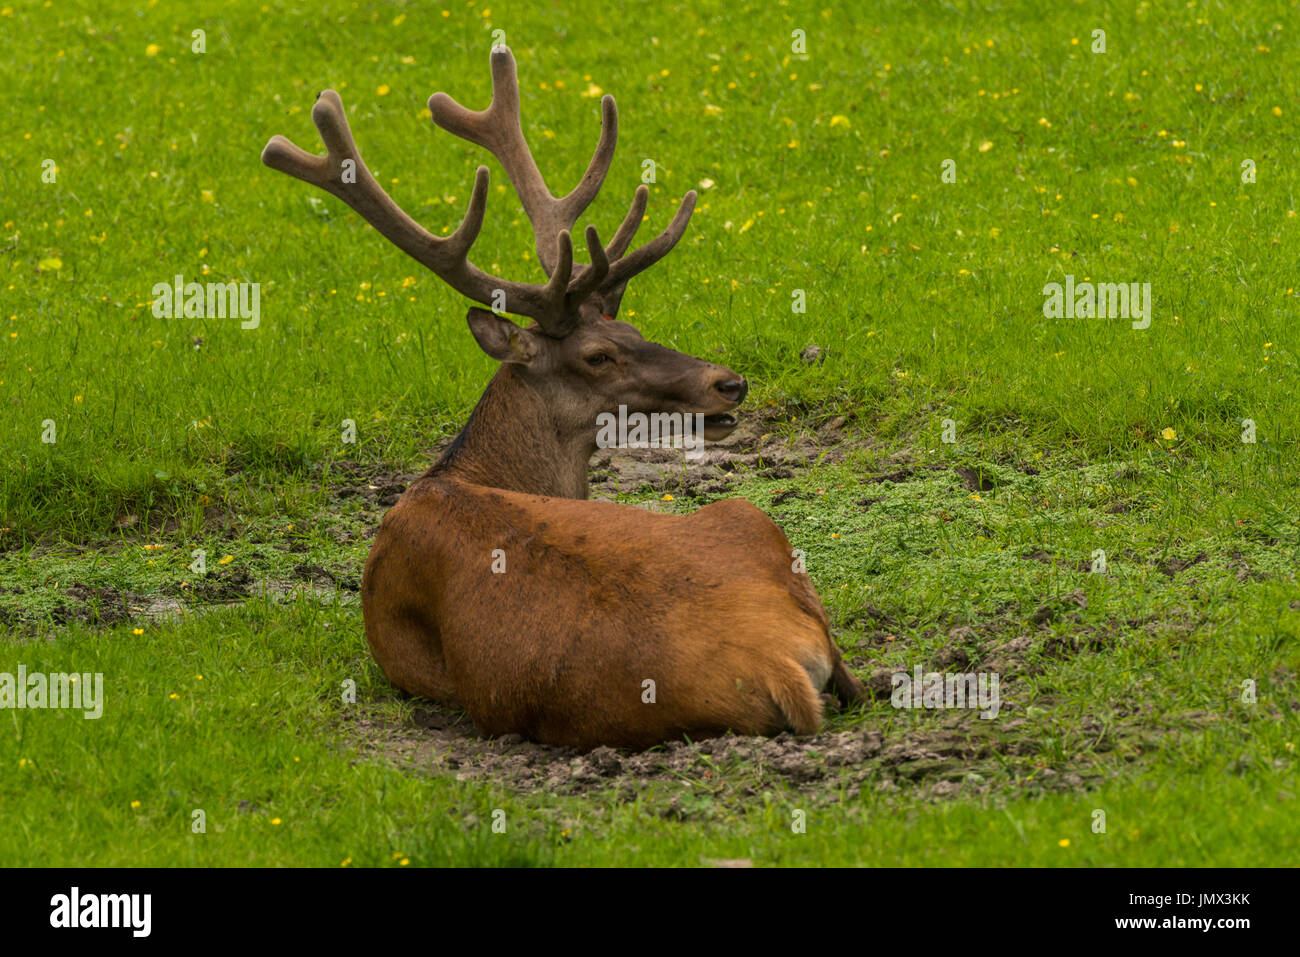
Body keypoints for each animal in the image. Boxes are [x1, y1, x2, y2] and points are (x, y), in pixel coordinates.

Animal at [261, 46, 864, 750]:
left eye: (632, 328)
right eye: (598, 356)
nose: (729, 382)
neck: (459, 475)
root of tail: (779, 663)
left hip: (742, 515)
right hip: (746, 518)